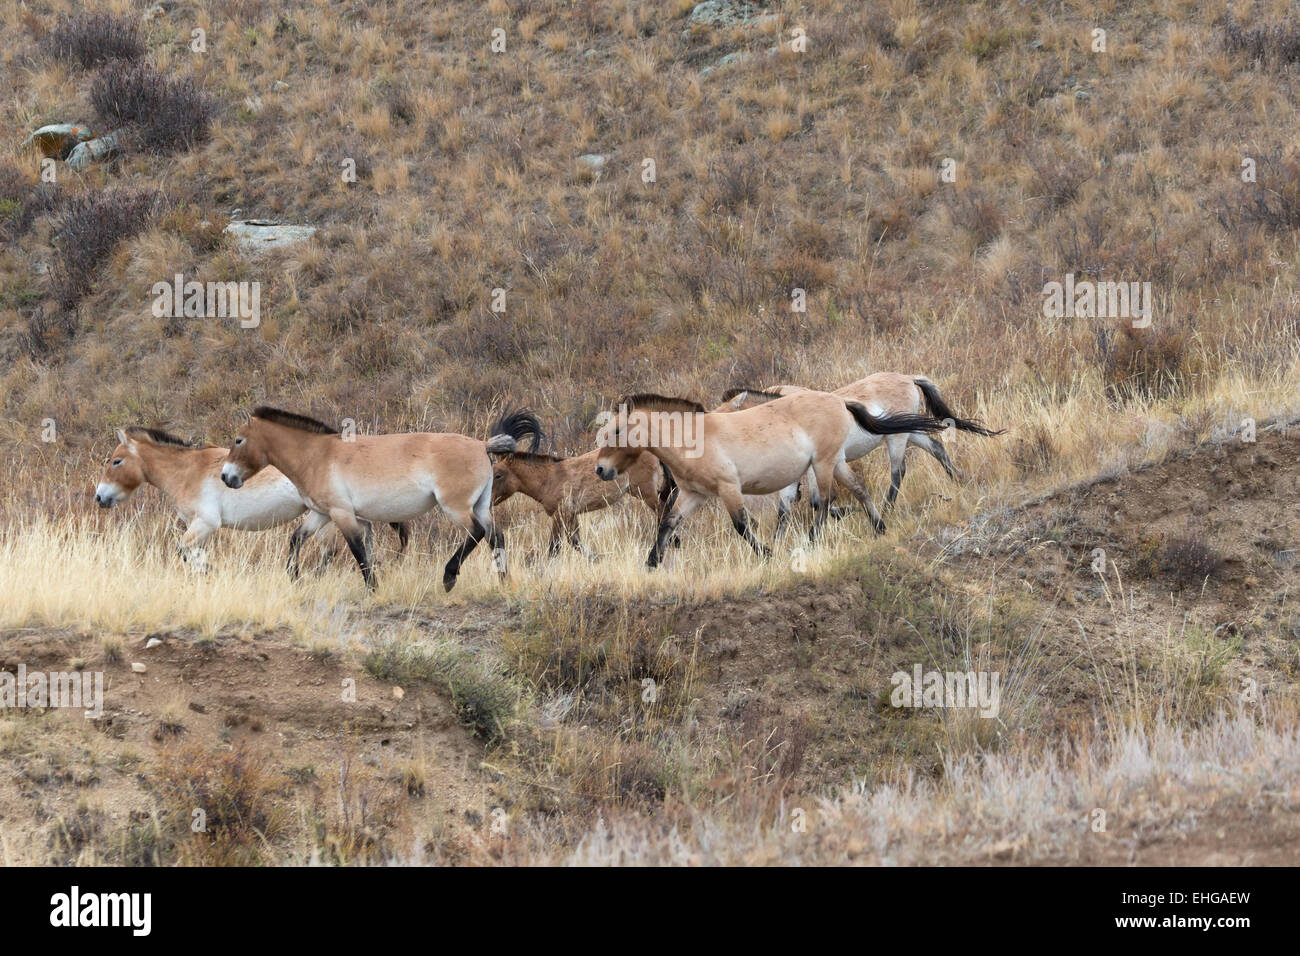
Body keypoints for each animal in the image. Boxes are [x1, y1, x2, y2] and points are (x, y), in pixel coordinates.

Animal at [94, 426, 409, 564]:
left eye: (116, 461)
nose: (99, 497)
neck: (188, 471)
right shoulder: (199, 528)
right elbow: (194, 556)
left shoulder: (205, 524)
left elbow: (184, 553)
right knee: (365, 533)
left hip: (330, 516)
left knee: (331, 550)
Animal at [220, 407, 540, 592]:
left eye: (238, 440)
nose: (226, 477)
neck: (317, 456)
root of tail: (482, 445)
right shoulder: (322, 513)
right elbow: (296, 538)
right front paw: (295, 577)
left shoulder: (342, 514)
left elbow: (358, 551)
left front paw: (373, 588)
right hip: (481, 505)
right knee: (496, 536)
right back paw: (504, 581)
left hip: (457, 507)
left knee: (477, 532)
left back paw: (449, 578)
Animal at [492, 447, 676, 557]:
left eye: (498, 475)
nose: (488, 500)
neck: (550, 478)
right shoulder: (571, 515)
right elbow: (575, 542)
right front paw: (596, 558)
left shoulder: (561, 514)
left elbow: (554, 546)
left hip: (646, 493)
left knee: (664, 512)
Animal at [593, 392, 947, 567]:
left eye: (617, 431)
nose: (600, 470)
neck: (695, 439)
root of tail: (838, 401)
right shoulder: (695, 494)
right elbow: (668, 523)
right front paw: (652, 562)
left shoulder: (728, 489)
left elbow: (741, 526)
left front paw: (766, 554)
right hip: (836, 463)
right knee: (858, 490)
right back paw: (879, 528)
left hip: (822, 464)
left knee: (825, 502)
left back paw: (811, 542)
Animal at [717, 373, 1002, 524]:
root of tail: (909, 378)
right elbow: (786, 509)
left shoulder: (817, 466)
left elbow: (817, 500)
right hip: (908, 431)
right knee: (936, 448)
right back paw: (960, 481)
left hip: (898, 439)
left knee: (898, 471)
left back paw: (887, 510)